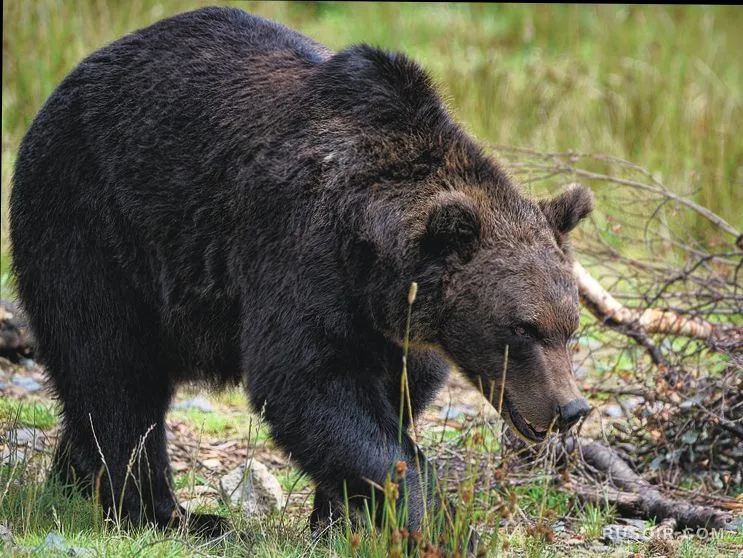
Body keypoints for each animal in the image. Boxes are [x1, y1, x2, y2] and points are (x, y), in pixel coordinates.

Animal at [9, 6, 592, 546]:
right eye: (521, 327)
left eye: (570, 327)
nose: (570, 408)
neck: (373, 256)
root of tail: (64, 86)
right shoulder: (299, 248)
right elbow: (310, 383)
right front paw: (443, 527)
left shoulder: (391, 323)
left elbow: (396, 394)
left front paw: (342, 517)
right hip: (93, 224)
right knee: (113, 367)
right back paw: (168, 513)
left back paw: (73, 478)